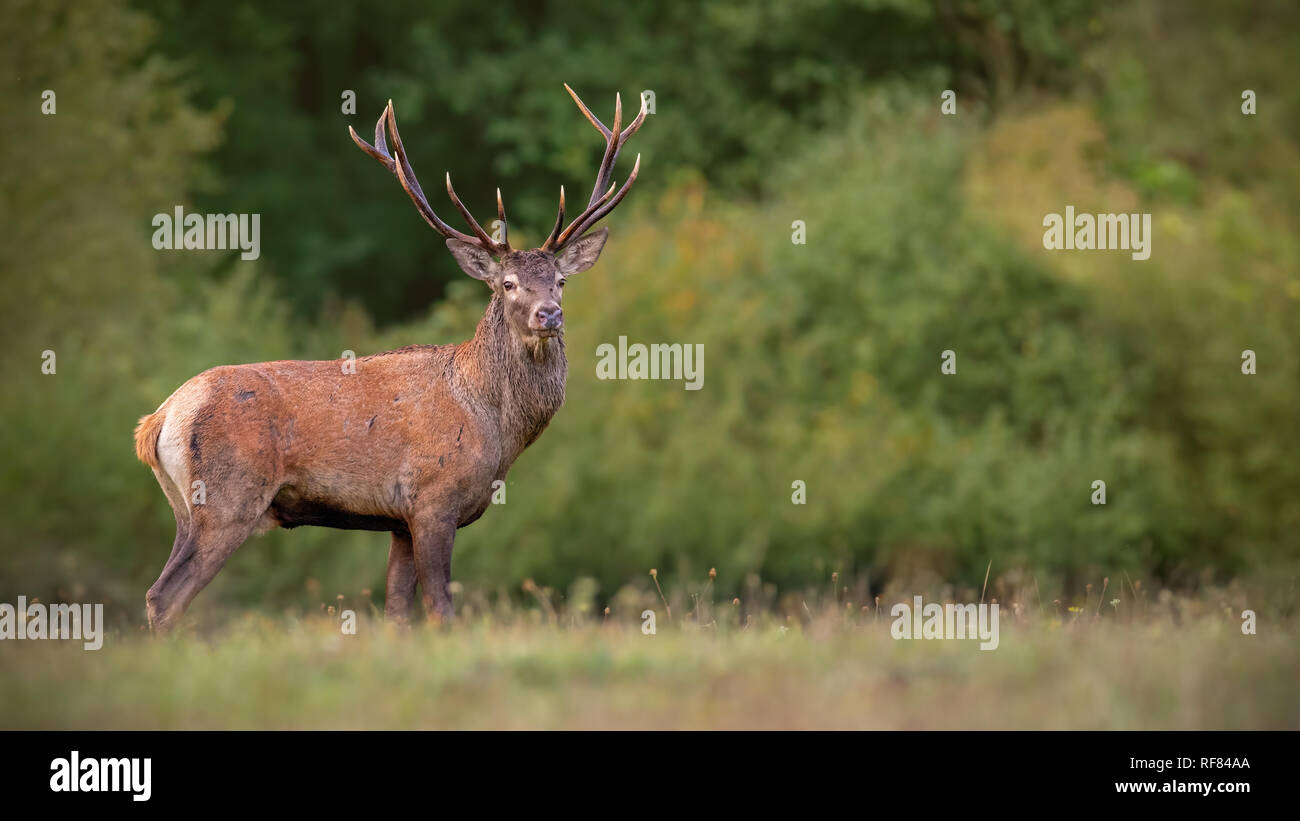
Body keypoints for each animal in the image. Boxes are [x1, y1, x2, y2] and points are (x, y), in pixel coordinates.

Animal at [133, 85, 646, 631]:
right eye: (507, 284)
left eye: (561, 280)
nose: (549, 314)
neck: (493, 424)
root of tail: (160, 418)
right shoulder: (433, 500)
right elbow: (441, 608)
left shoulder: (398, 522)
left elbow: (397, 613)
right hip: (226, 497)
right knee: (166, 594)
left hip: (184, 507)